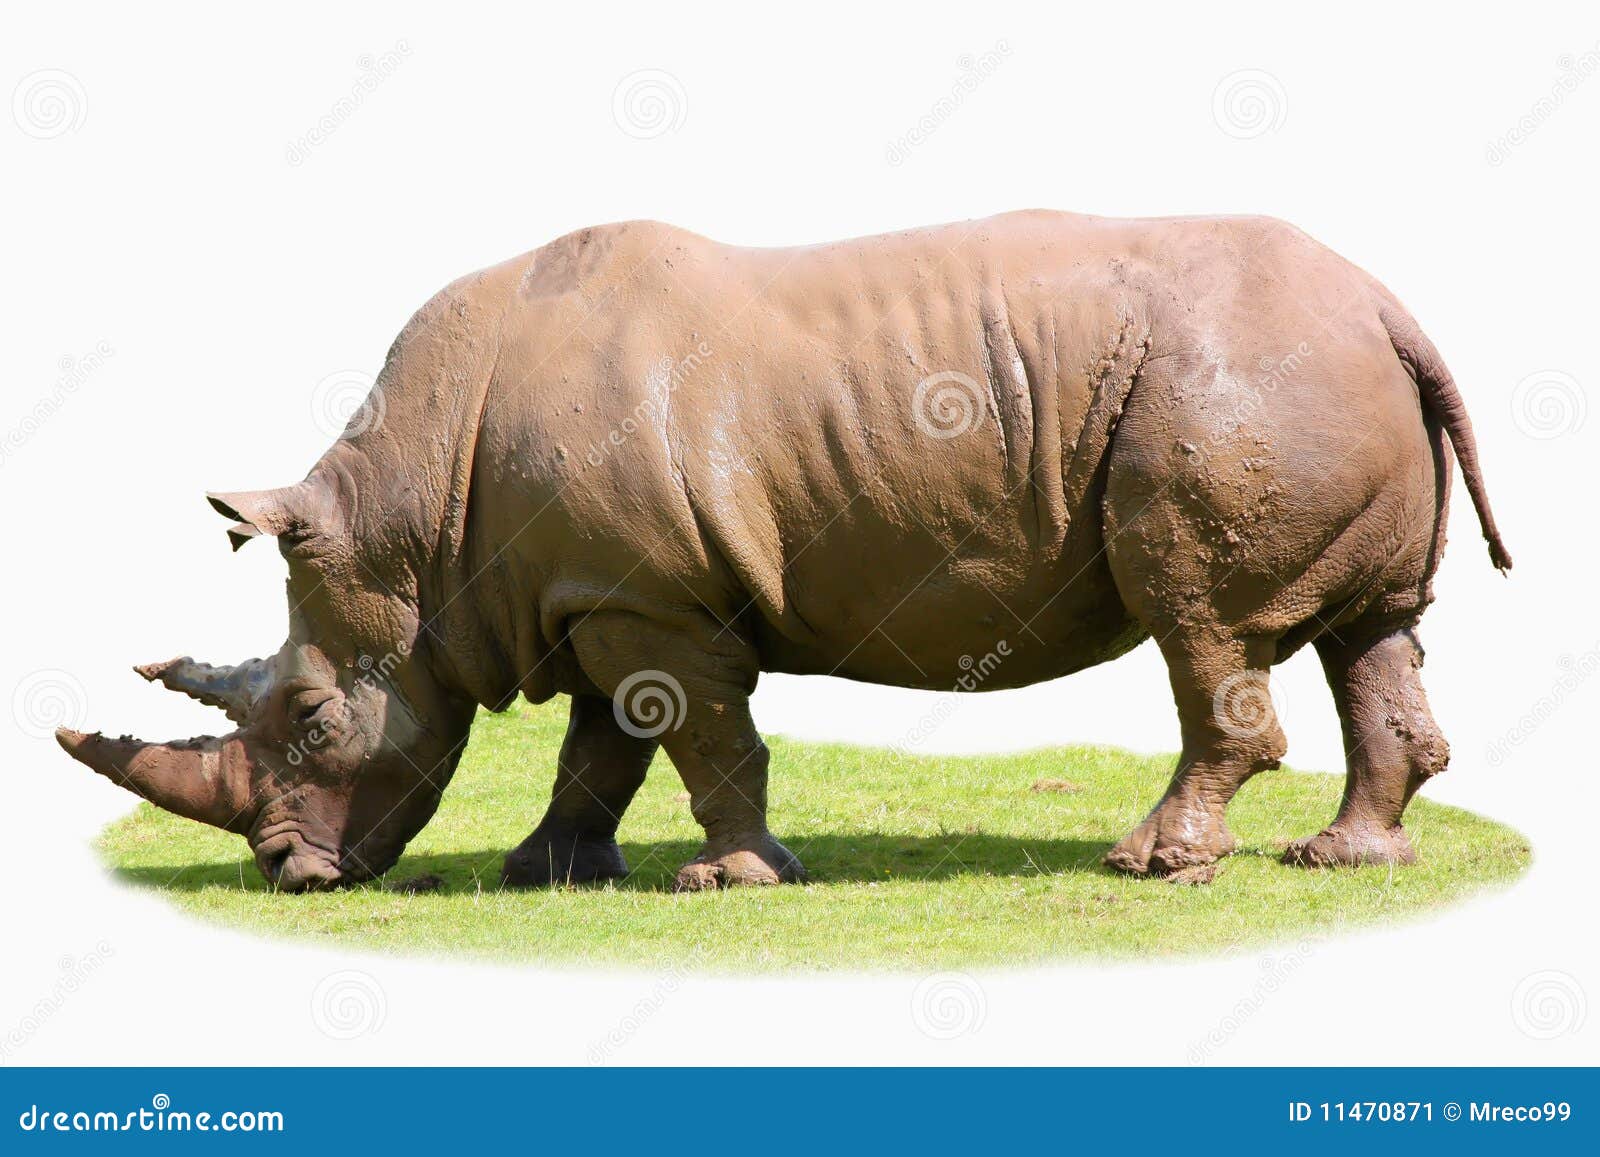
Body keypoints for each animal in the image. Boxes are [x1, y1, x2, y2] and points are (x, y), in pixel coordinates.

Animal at [57, 210, 1510, 891]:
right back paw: (1343, 859)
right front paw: (546, 873)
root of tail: (1389, 308)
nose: (283, 872)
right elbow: (603, 744)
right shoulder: (602, 589)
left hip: (1236, 387)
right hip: (1307, 373)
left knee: (1201, 617)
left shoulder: (650, 595)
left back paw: (1152, 863)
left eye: (308, 717)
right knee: (1366, 628)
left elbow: (700, 735)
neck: (413, 531)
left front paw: (725, 879)